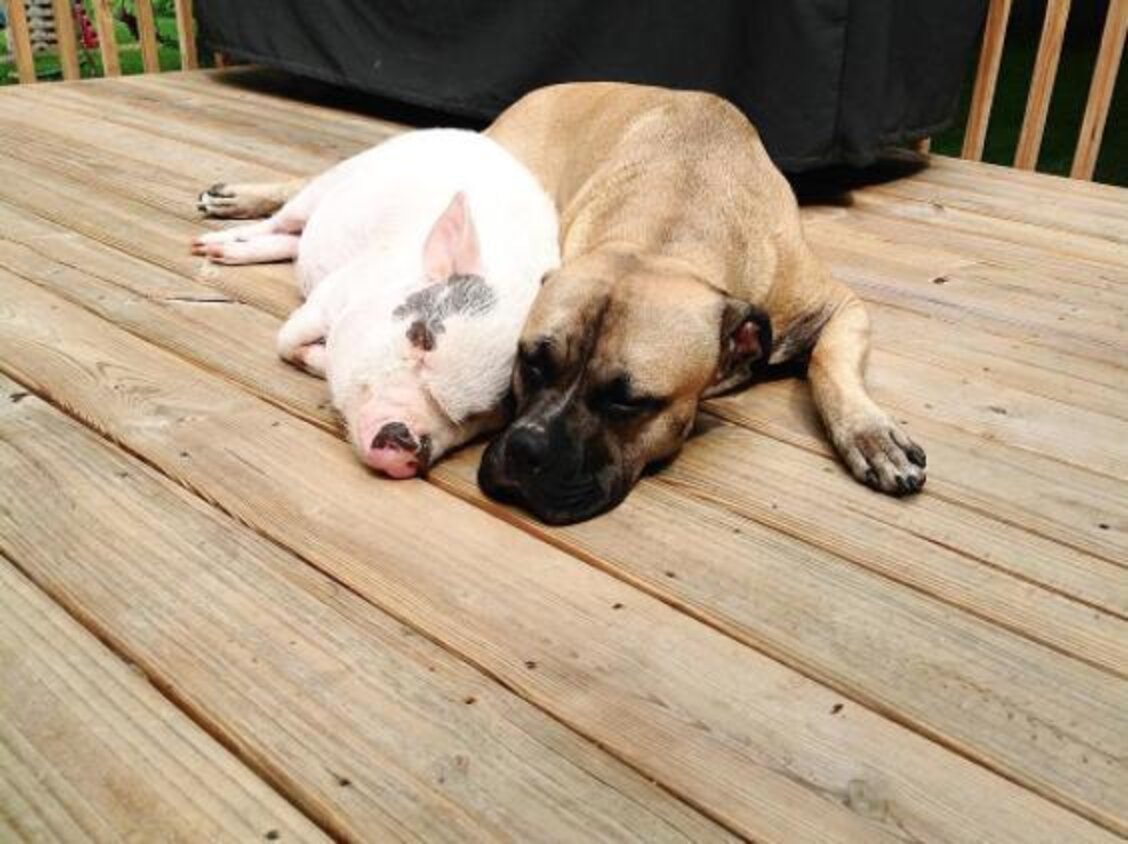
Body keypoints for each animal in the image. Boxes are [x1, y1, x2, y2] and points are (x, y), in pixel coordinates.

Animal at [191, 129, 560, 477]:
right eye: (420, 337)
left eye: (480, 414)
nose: (404, 442)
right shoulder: (334, 292)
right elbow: (287, 340)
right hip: (326, 186)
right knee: (280, 221)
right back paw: (209, 244)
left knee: (290, 241)